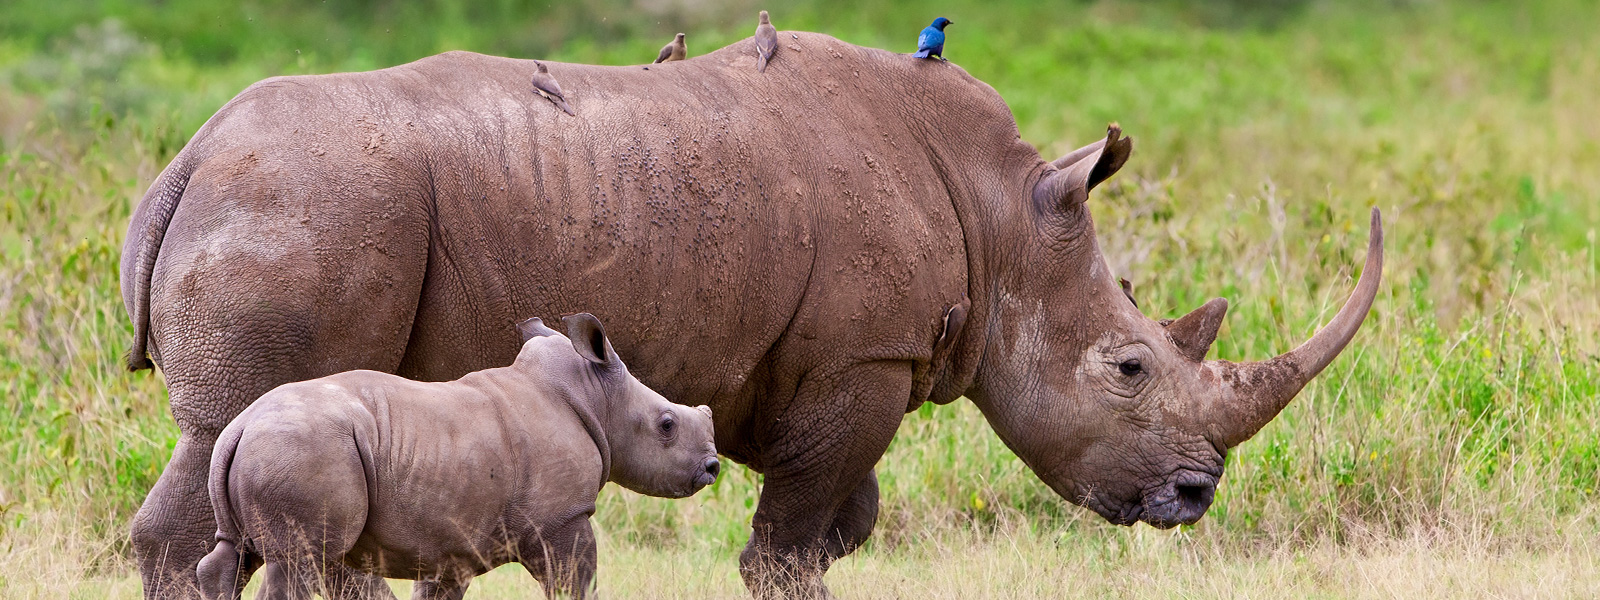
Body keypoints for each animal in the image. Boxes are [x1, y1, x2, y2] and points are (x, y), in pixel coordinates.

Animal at [195, 314, 717, 600]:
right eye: (666, 425)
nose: (712, 467)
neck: (593, 396)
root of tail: (239, 426)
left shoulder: (452, 544)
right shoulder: (560, 518)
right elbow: (576, 583)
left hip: (272, 450)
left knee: (236, 556)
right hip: (303, 450)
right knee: (300, 561)